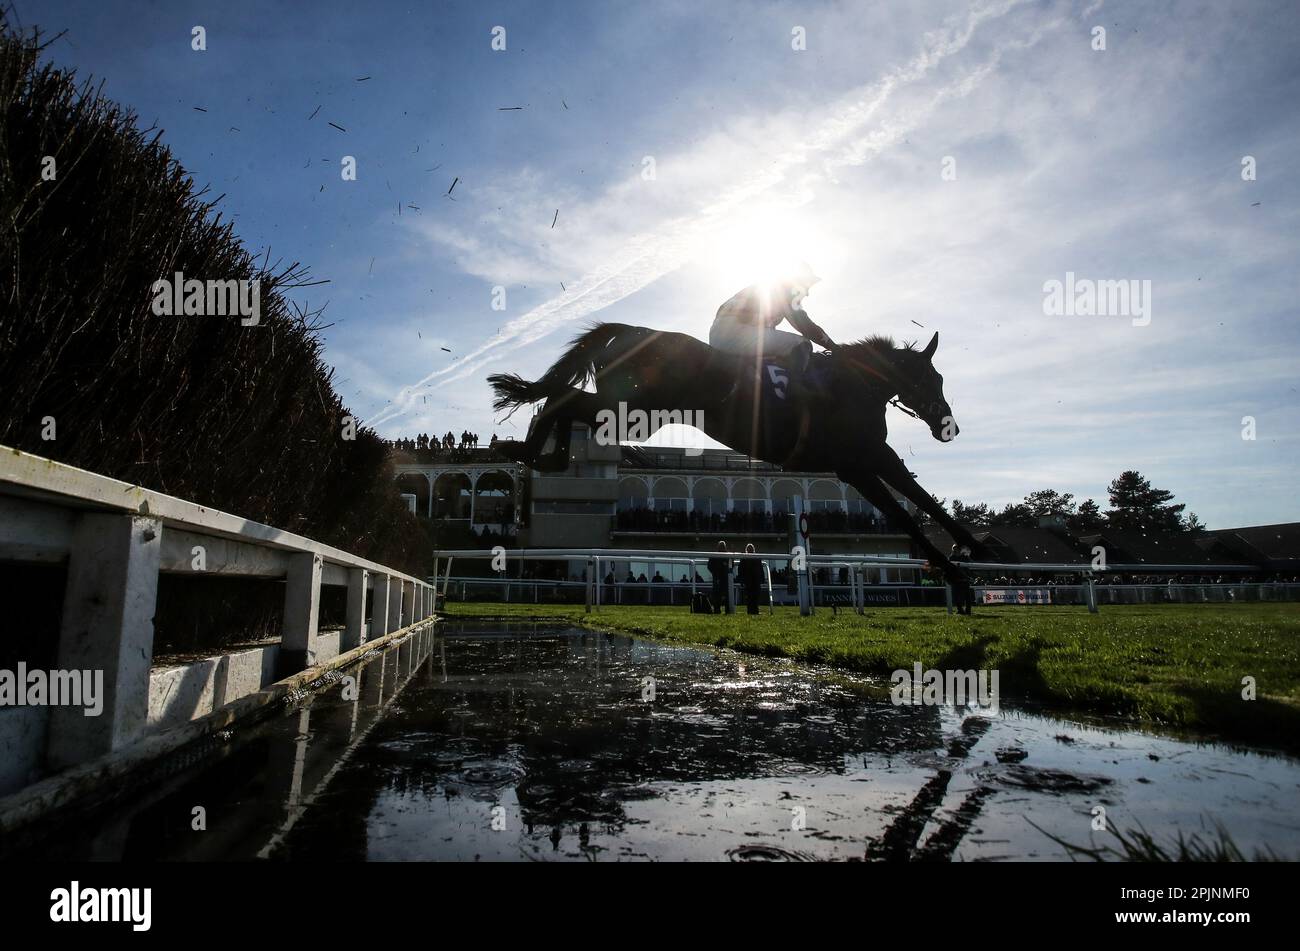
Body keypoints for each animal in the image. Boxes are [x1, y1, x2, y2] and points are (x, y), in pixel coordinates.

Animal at [487, 322, 986, 611]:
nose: (949, 427)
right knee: (563, 399)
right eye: (931, 378)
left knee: (564, 399)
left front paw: (974, 549)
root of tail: (629, 329)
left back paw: (538, 453)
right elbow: (908, 512)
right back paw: (533, 450)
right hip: (635, 408)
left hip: (631, 409)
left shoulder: (869, 459)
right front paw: (961, 569)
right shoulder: (860, 462)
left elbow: (919, 500)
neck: (855, 384)